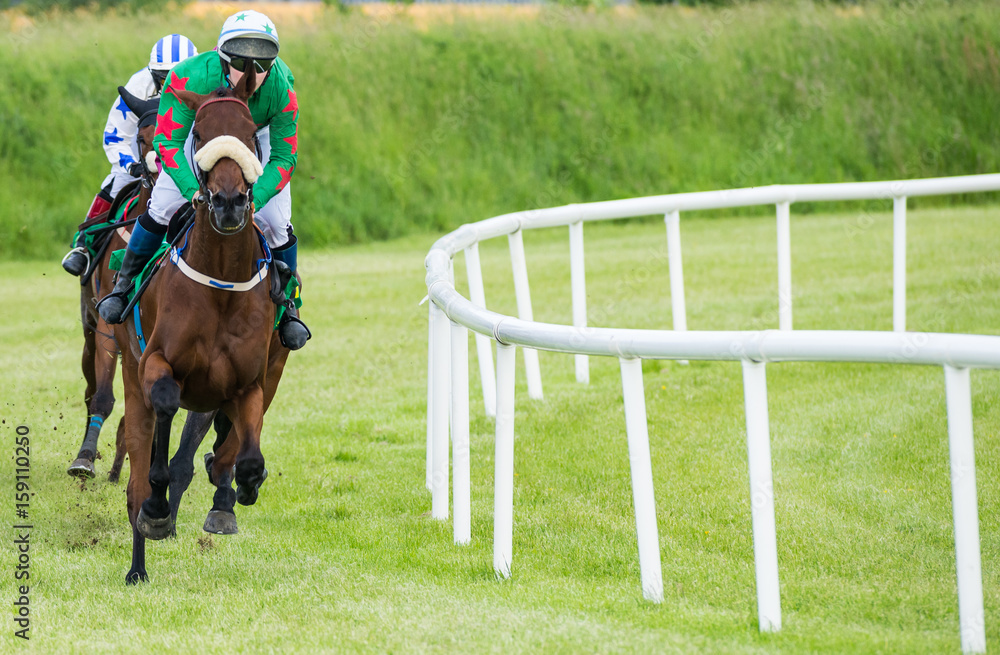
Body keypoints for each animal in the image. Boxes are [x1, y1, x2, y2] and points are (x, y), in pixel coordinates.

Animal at [113, 66, 290, 584]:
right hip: (130, 376)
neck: (221, 286)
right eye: (199, 135)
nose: (229, 202)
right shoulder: (156, 365)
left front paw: (234, 492)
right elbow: (166, 412)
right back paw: (138, 563)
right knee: (136, 479)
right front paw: (158, 509)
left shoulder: (251, 382)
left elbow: (246, 456)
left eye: (251, 135)